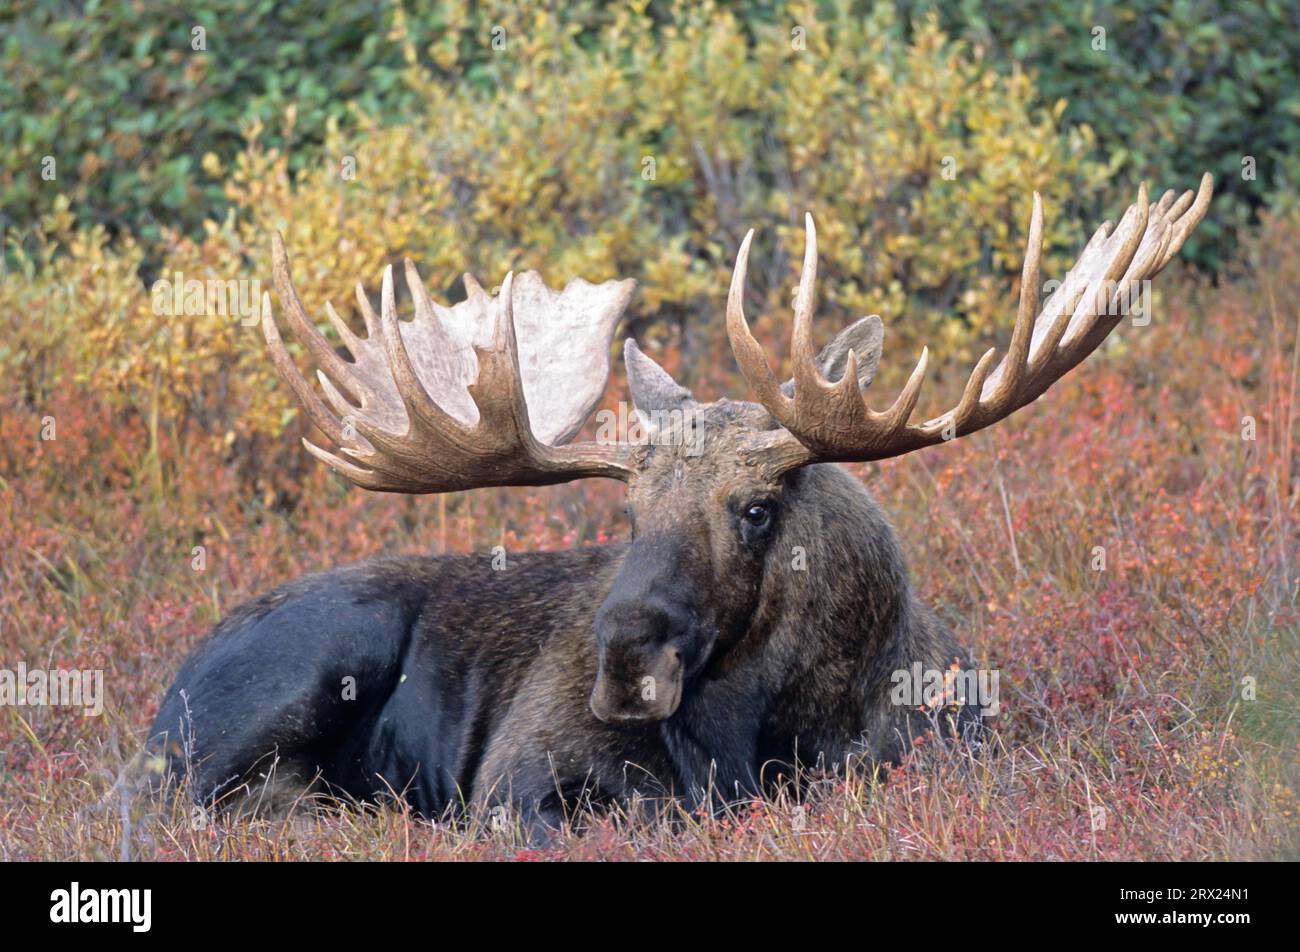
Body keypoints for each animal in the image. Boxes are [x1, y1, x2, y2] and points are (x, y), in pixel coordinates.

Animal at [148, 175, 1211, 835]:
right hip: (292, 675)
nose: (622, 656)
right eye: (628, 513)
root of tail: (170, 689)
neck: (778, 729)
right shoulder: (515, 778)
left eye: (756, 508)